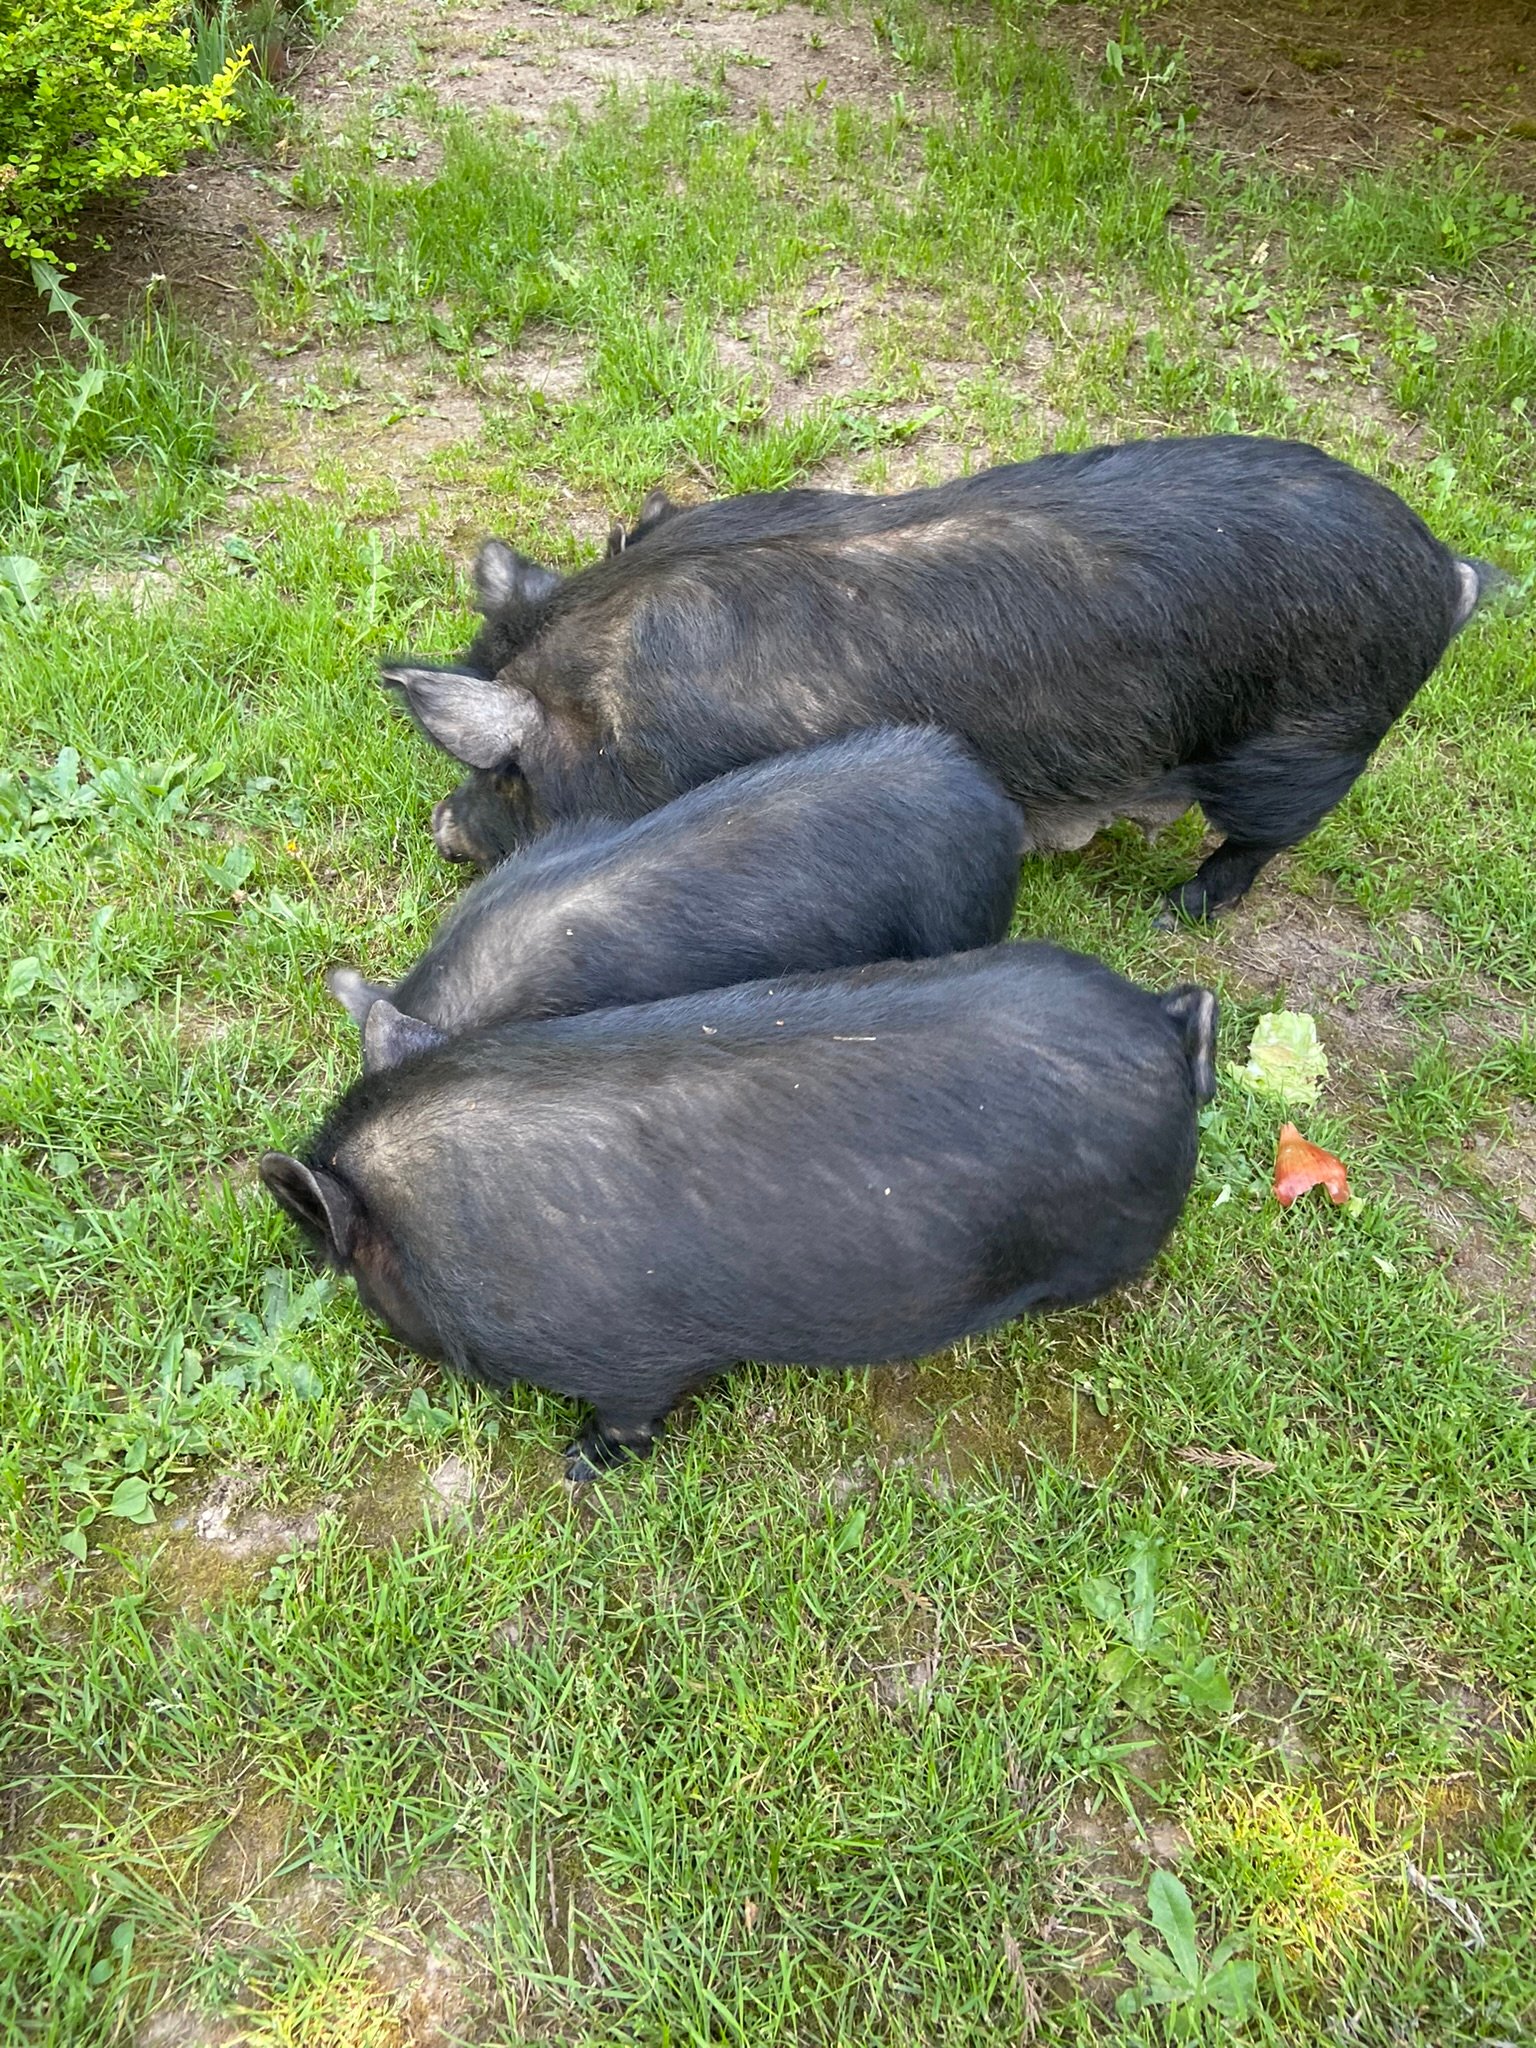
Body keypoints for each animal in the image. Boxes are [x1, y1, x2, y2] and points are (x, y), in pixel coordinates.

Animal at [259, 944, 1218, 1480]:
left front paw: (574, 1467)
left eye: (351, 1276)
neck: (439, 1233)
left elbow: (632, 1420)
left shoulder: (628, 1362)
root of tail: (1161, 1035)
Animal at [381, 435, 1500, 911]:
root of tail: (1442, 568)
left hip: (1312, 741)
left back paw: (1179, 905)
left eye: (500, 774)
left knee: (1259, 841)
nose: (440, 830)